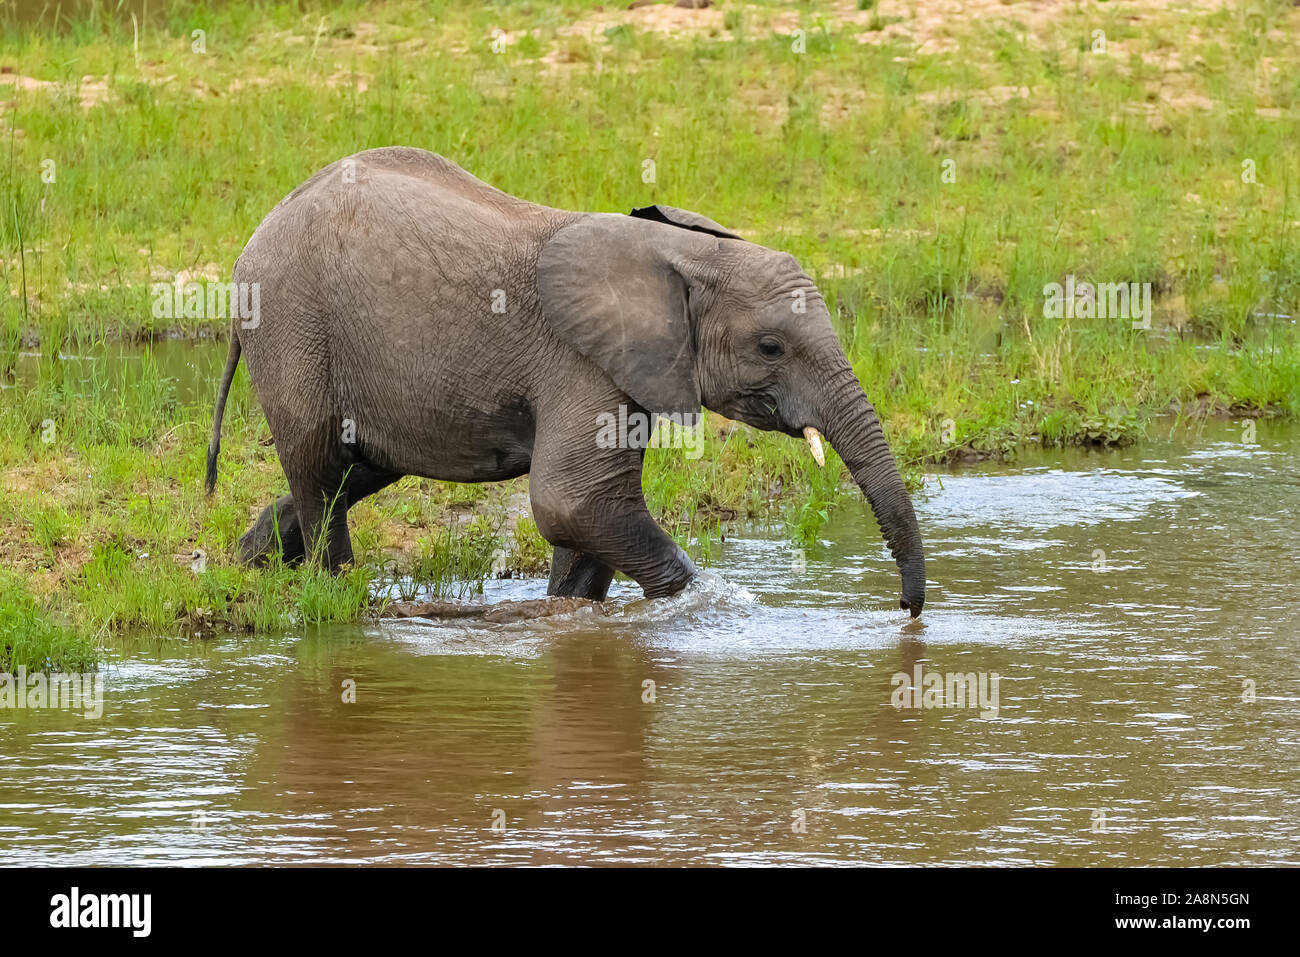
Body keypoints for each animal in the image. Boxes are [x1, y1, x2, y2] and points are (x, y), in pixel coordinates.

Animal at [205, 147, 925, 616]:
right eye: (771, 347)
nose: (906, 611)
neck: (680, 253)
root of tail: (249, 246)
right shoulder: (579, 361)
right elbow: (573, 502)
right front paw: (712, 611)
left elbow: (588, 517)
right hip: (294, 325)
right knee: (321, 469)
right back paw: (338, 594)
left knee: (357, 468)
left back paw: (249, 567)